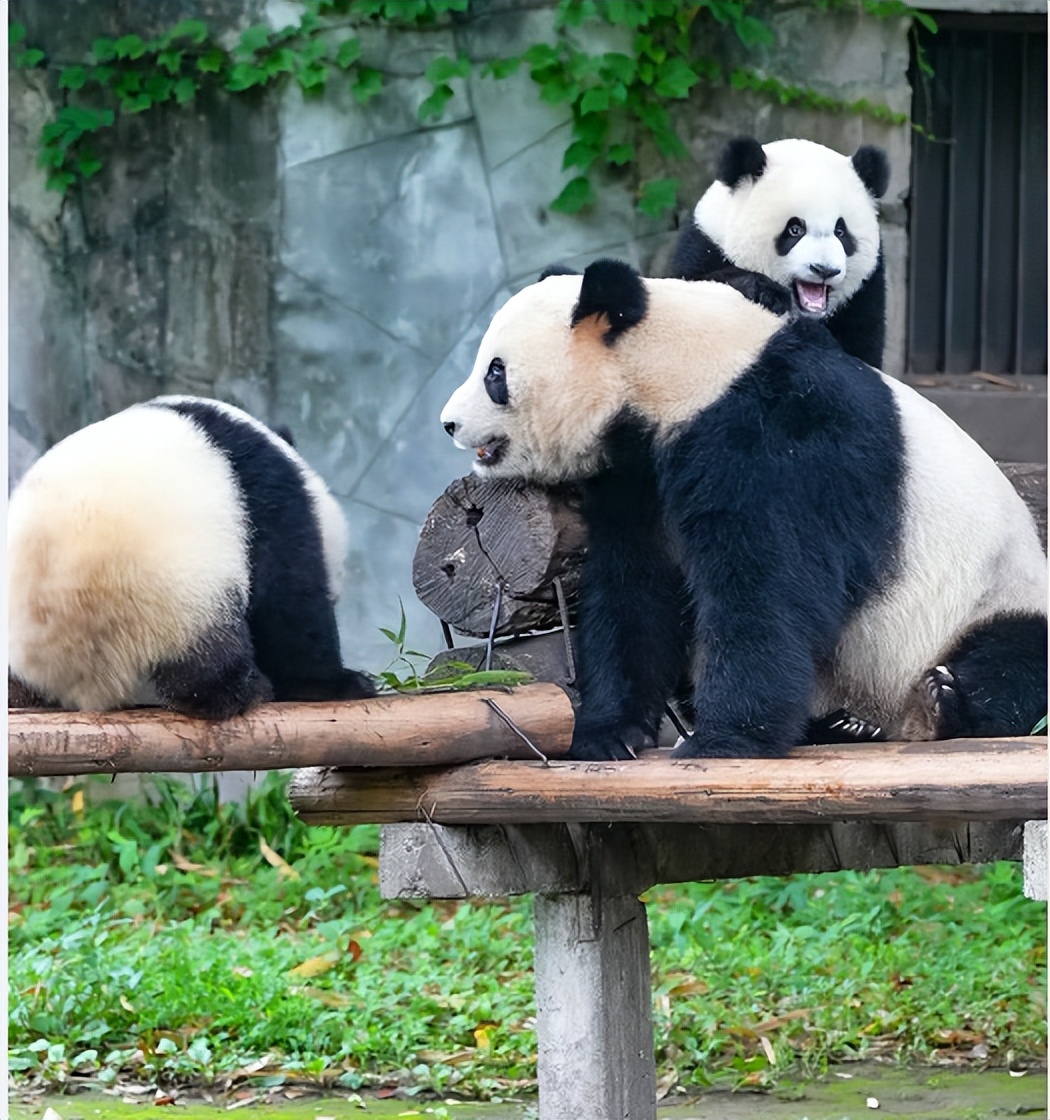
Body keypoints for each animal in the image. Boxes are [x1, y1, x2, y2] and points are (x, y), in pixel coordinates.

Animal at [8, 396, 376, 719]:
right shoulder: (266, 500)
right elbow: (289, 602)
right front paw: (341, 684)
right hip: (170, 596)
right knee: (203, 659)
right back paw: (240, 690)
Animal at [439, 260, 1047, 760]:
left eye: (495, 372)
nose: (449, 423)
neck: (682, 373)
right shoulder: (638, 474)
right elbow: (635, 588)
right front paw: (607, 734)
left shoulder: (782, 437)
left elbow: (767, 583)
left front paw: (725, 739)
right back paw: (843, 725)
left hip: (989, 596)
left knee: (1015, 659)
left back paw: (942, 705)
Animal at [672, 136, 890, 369]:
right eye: (795, 229)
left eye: (840, 231)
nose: (824, 270)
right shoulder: (703, 245)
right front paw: (767, 292)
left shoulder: (865, 296)